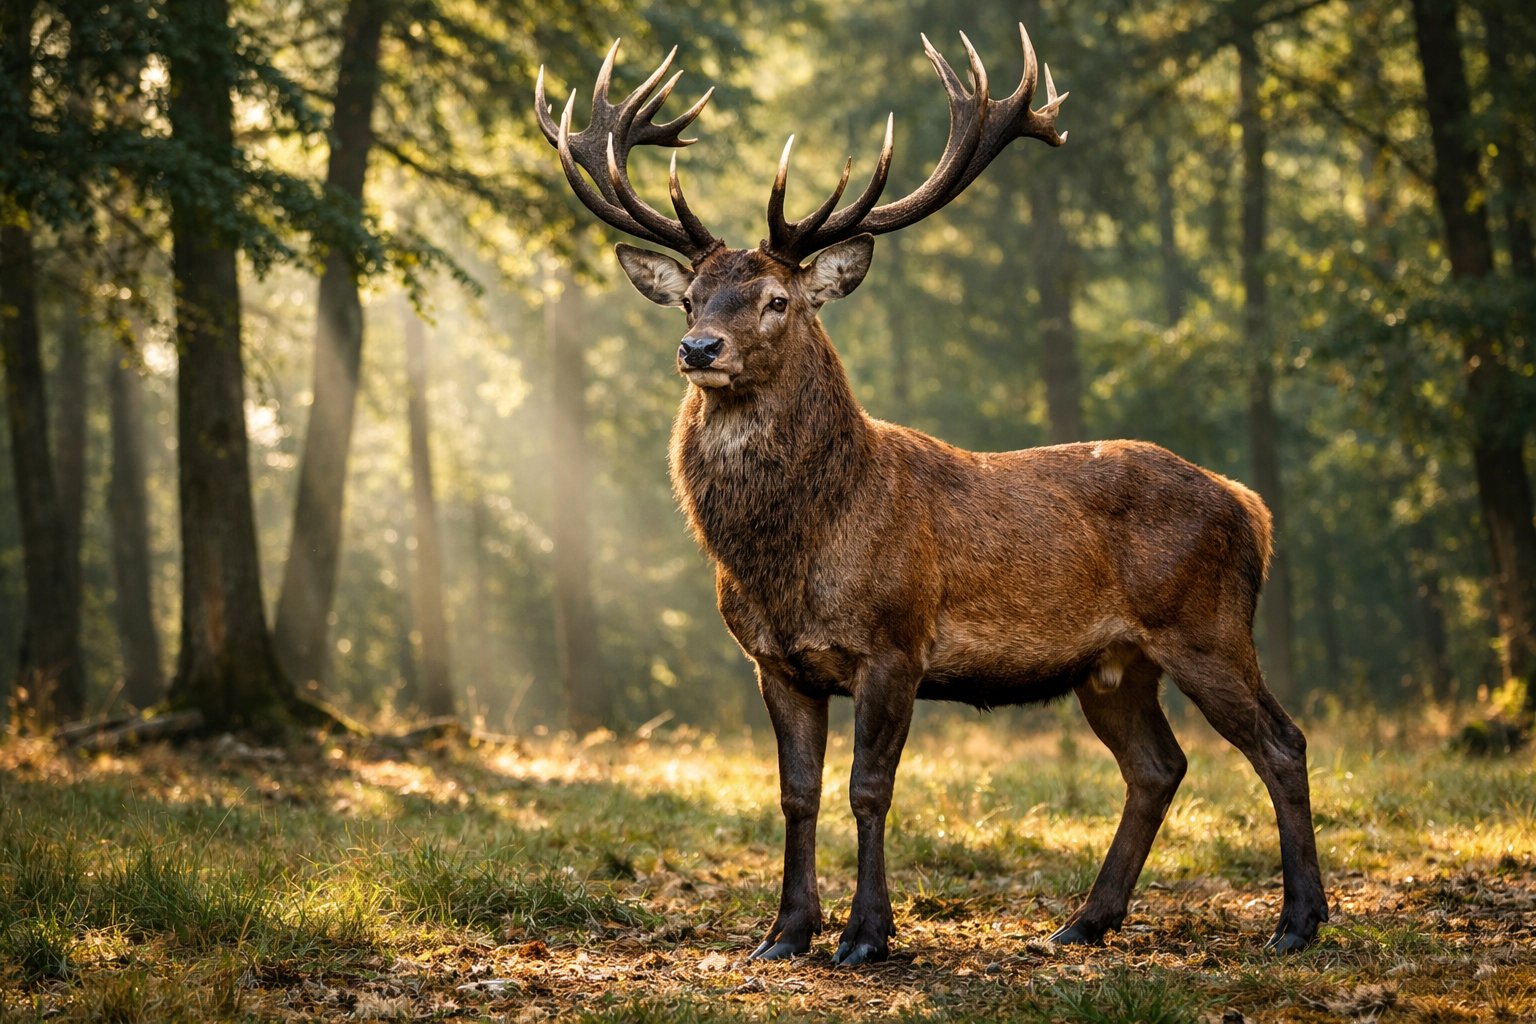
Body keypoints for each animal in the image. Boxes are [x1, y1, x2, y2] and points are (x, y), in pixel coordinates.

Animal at [535, 25, 1328, 966]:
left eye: (776, 299)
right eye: (689, 297)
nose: (698, 348)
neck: (794, 554)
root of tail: (1251, 506)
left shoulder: (895, 643)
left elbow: (868, 788)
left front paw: (867, 935)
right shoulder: (773, 660)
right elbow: (796, 793)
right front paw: (784, 933)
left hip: (1207, 625)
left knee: (1281, 741)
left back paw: (1298, 921)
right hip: (1113, 665)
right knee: (1157, 765)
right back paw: (1085, 920)